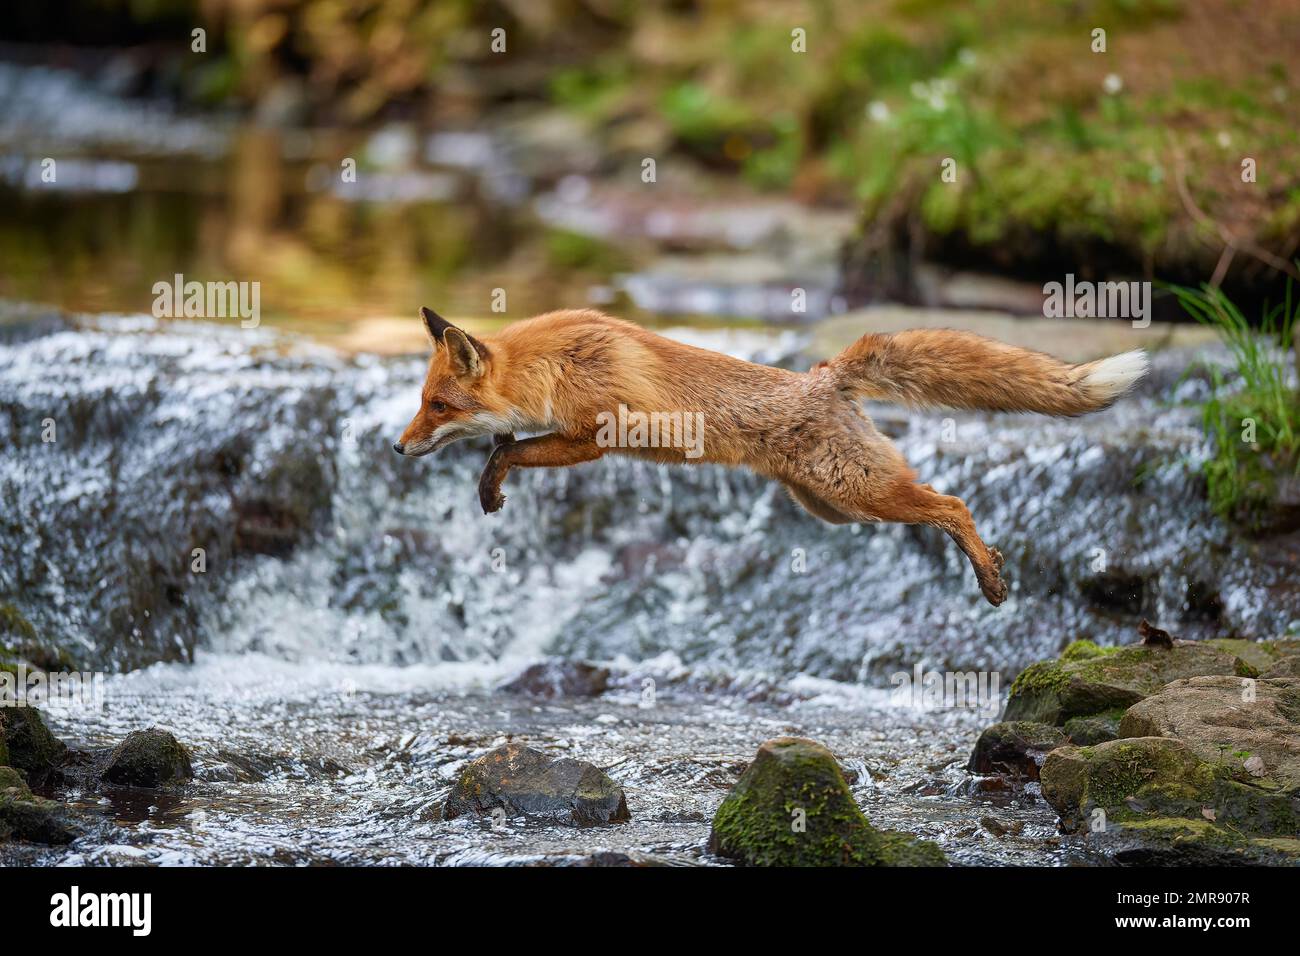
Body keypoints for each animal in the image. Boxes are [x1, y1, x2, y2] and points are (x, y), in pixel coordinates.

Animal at [394, 306, 1148, 606]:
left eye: (438, 406)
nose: (397, 446)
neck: (552, 365)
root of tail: (825, 374)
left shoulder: (596, 436)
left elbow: (514, 451)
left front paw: (492, 480)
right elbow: (506, 443)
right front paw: (489, 479)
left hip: (859, 494)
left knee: (952, 501)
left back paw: (989, 575)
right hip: (835, 510)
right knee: (939, 503)